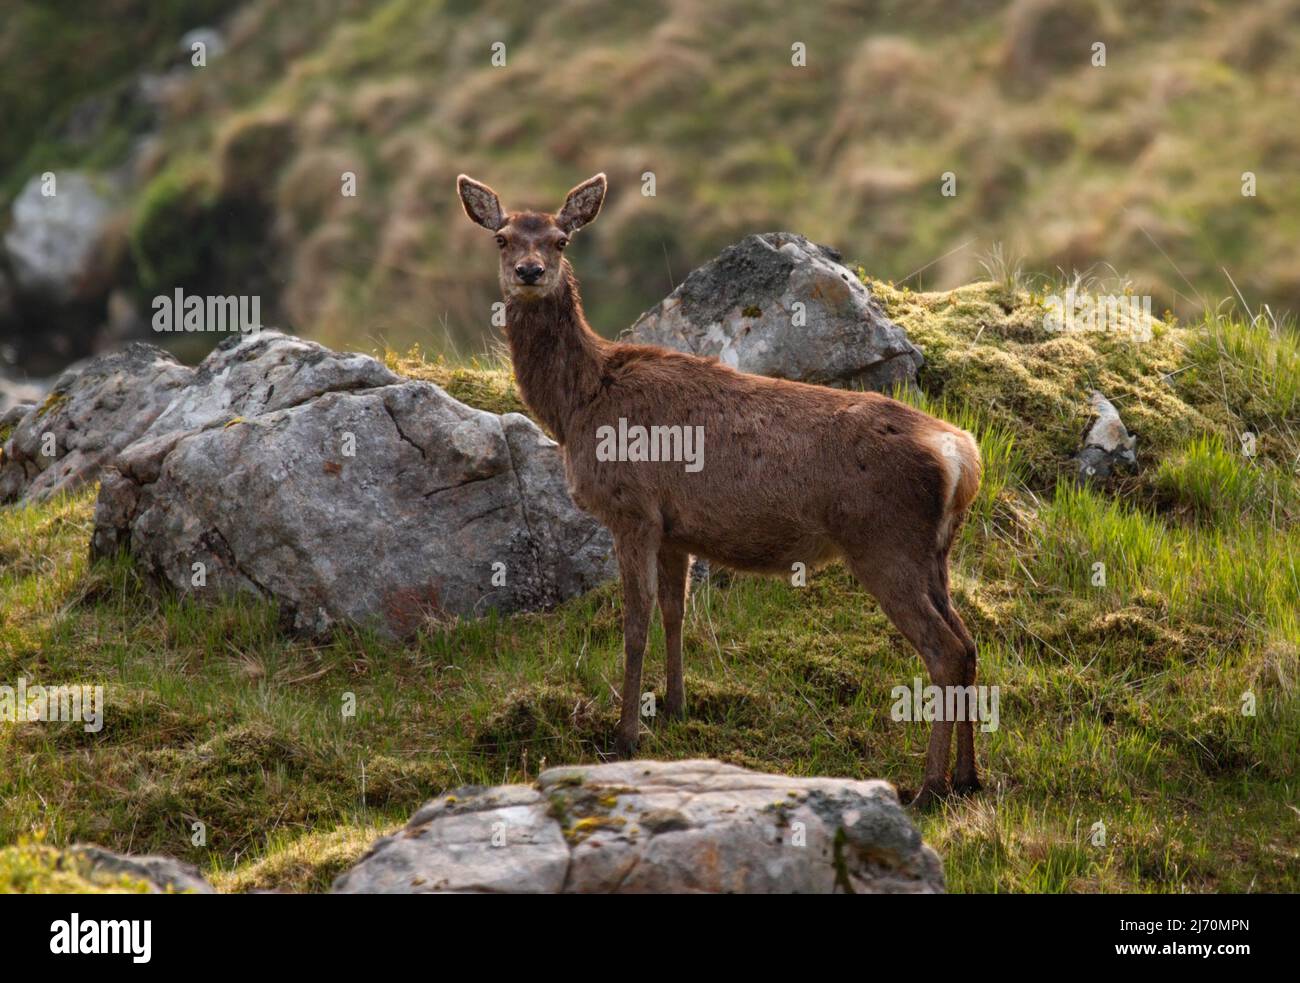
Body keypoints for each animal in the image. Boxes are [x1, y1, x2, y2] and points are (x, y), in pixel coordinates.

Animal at [457, 172, 984, 808]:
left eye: (561, 240)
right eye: (503, 238)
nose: (530, 271)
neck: (579, 405)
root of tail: (960, 455)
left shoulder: (632, 509)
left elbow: (635, 621)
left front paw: (625, 735)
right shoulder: (674, 529)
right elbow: (674, 612)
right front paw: (675, 709)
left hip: (884, 541)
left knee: (944, 650)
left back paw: (929, 785)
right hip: (935, 552)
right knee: (969, 644)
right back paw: (968, 777)